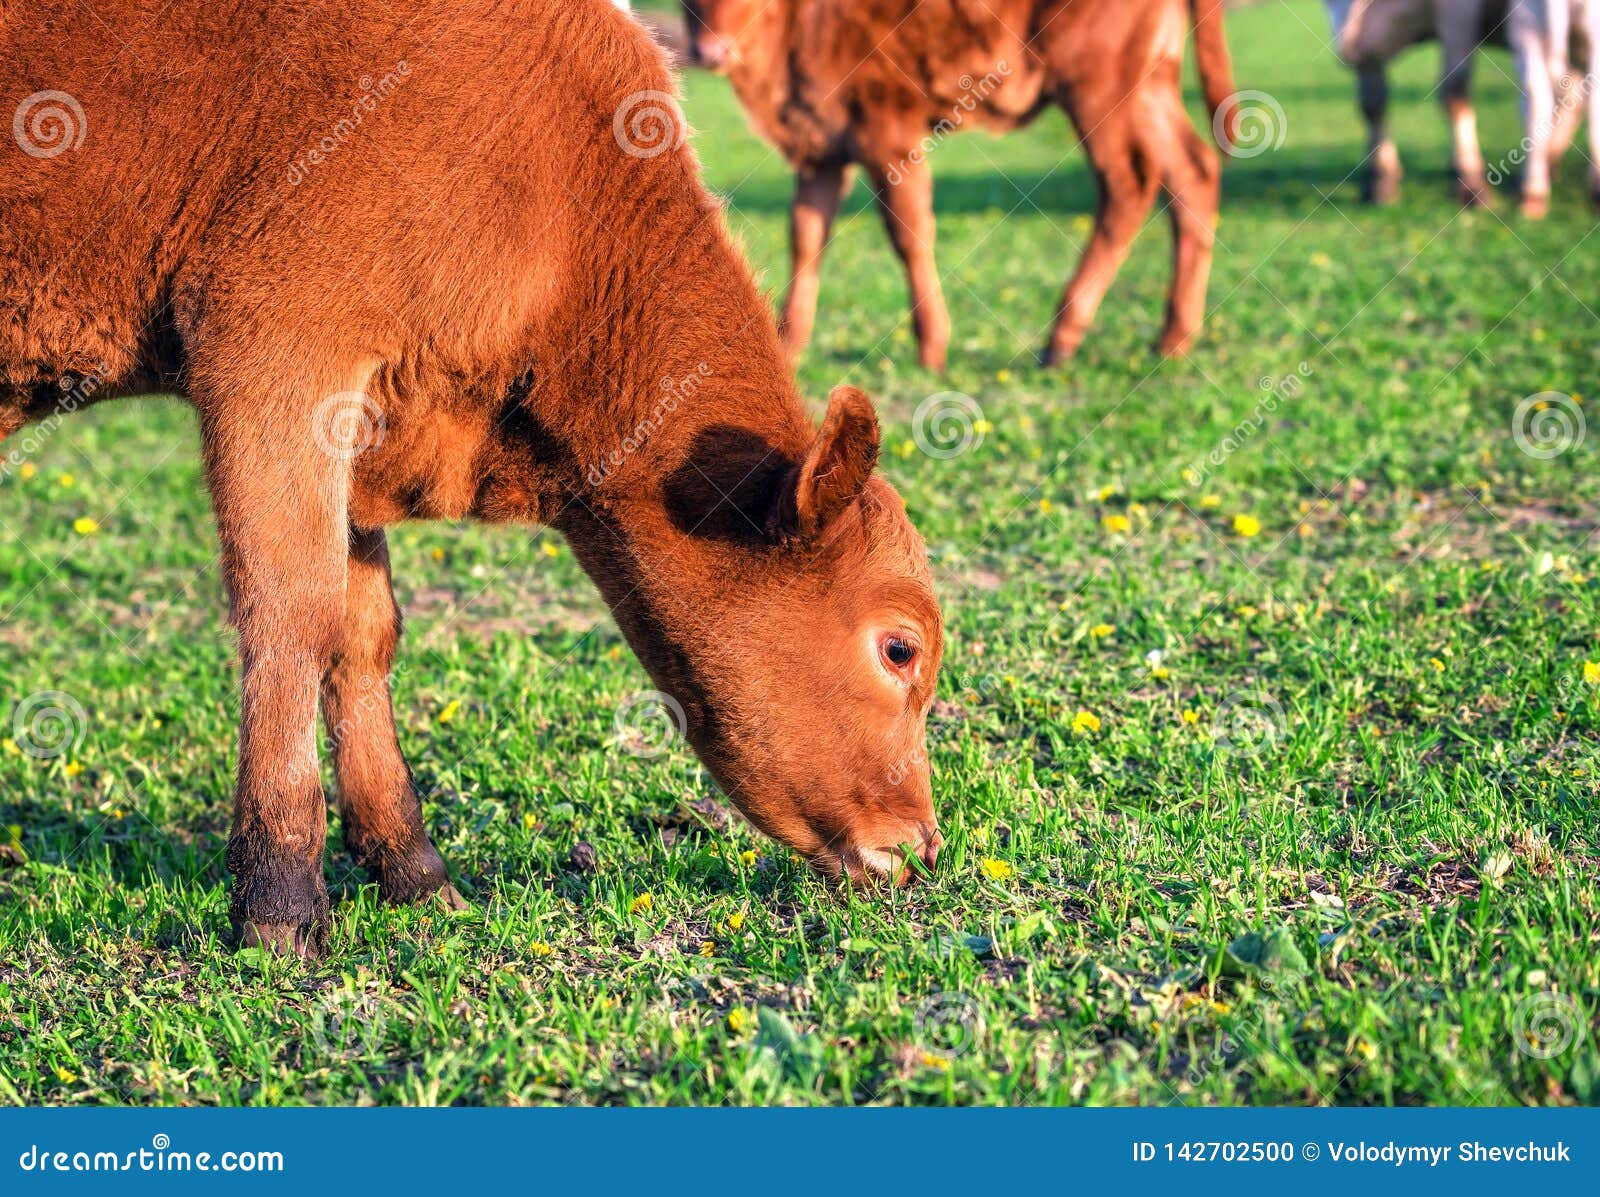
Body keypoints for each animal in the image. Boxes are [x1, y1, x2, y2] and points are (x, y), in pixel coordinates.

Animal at [1, 0, 945, 957]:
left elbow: (362, 632)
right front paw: (280, 896)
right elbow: (293, 615)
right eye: (899, 647)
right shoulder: (273, 356)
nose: (924, 845)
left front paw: (413, 871)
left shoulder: (367, 414)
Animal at [680, 0, 1240, 370]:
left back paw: (1063, 337)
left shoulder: (890, 136)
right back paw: (1173, 338)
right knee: (1192, 173)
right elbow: (806, 236)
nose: (709, 51)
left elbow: (908, 234)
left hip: (1099, 88)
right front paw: (787, 343)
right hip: (1149, 87)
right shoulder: (821, 149)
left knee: (1129, 183)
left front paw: (932, 346)